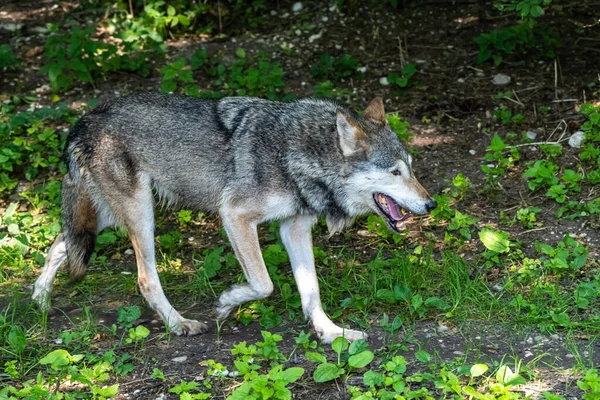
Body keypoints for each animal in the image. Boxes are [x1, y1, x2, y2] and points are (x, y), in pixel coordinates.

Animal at [31, 92, 436, 342]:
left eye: (412, 169)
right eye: (395, 172)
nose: (431, 205)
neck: (299, 156)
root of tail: (84, 119)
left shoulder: (295, 228)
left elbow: (311, 291)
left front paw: (331, 333)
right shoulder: (236, 217)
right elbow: (263, 284)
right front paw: (226, 303)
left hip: (107, 219)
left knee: (60, 243)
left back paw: (40, 303)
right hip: (140, 215)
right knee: (145, 278)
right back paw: (179, 324)